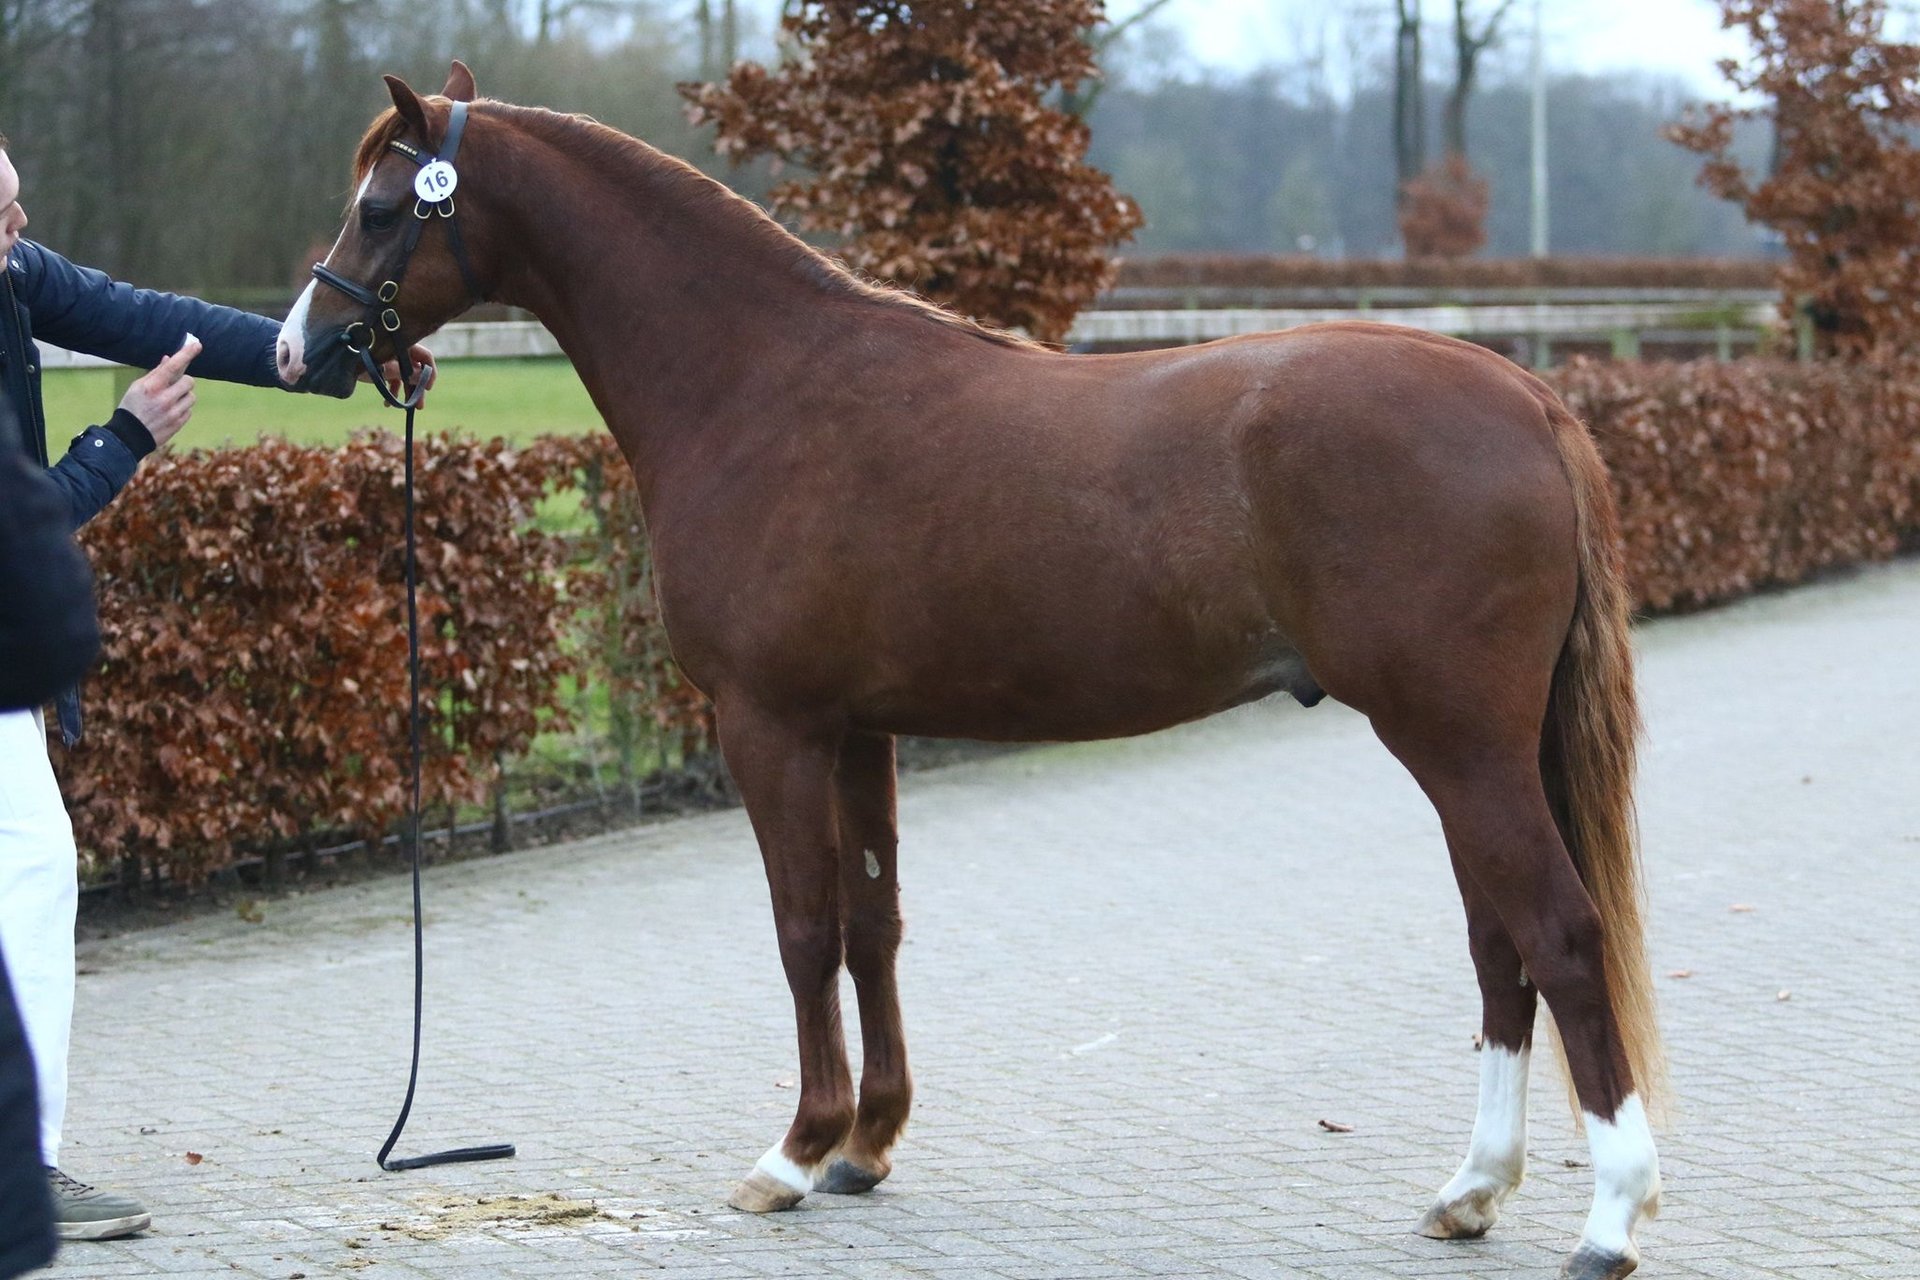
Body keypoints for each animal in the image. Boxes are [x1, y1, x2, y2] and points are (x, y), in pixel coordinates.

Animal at [278, 64, 1665, 1280]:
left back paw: (1607, 1219)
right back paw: (1472, 1190)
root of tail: (1527, 394)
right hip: (1468, 747)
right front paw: (866, 1143)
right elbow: (874, 924)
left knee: (1557, 934)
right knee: (1499, 947)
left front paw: (792, 1153)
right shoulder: (858, 727)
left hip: (1458, 740)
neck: (759, 383)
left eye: (385, 206)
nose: (303, 347)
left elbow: (803, 928)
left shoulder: (769, 725)